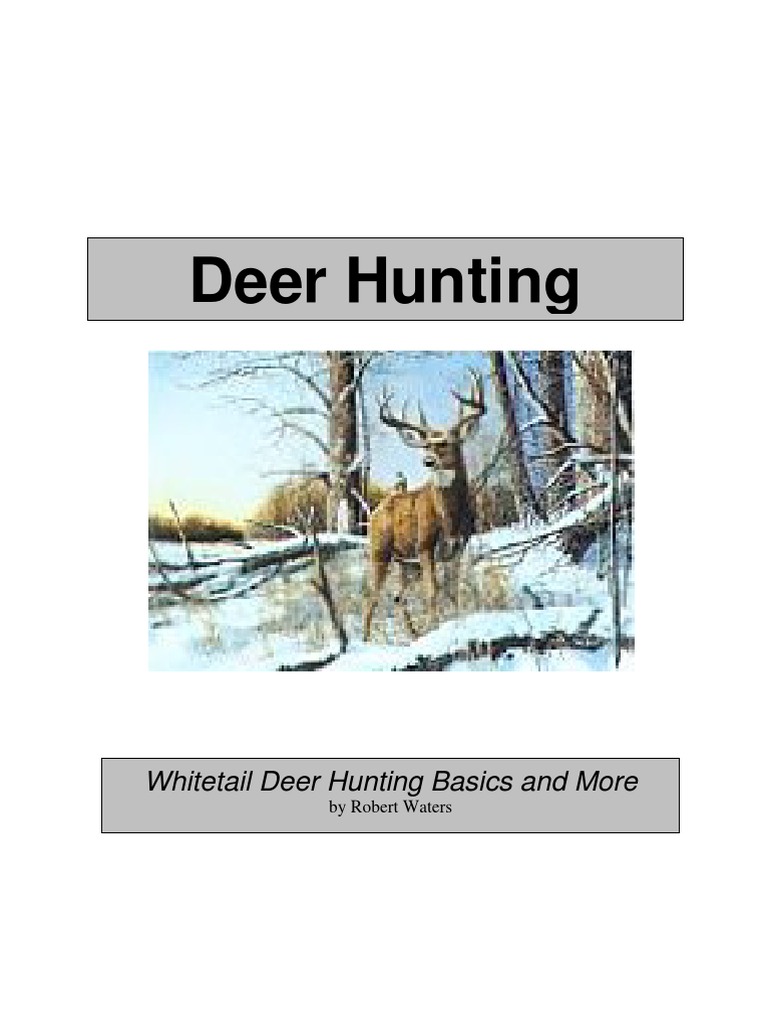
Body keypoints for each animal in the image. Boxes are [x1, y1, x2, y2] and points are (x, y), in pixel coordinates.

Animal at [362, 370, 486, 641]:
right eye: (428, 444)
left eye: (447, 442)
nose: (427, 461)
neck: (449, 519)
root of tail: (374, 512)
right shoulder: (425, 545)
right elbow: (433, 591)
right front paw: (436, 627)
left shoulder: (458, 545)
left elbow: (452, 590)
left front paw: (458, 623)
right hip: (380, 551)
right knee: (371, 596)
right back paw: (364, 642)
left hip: (406, 562)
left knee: (398, 596)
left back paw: (414, 635)